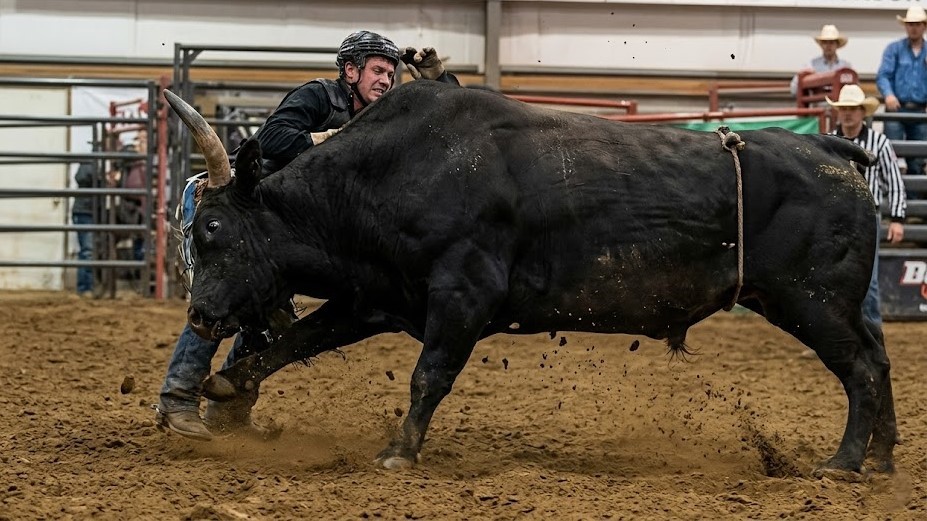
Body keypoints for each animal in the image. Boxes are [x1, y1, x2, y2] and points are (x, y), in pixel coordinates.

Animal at [163, 80, 897, 476]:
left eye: (214, 229)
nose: (198, 315)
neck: (391, 173)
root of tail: (831, 148)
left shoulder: (462, 296)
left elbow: (427, 375)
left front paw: (399, 450)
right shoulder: (376, 296)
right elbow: (294, 341)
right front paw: (225, 385)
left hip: (811, 302)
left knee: (861, 368)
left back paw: (841, 464)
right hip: (833, 303)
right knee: (881, 359)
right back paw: (883, 458)